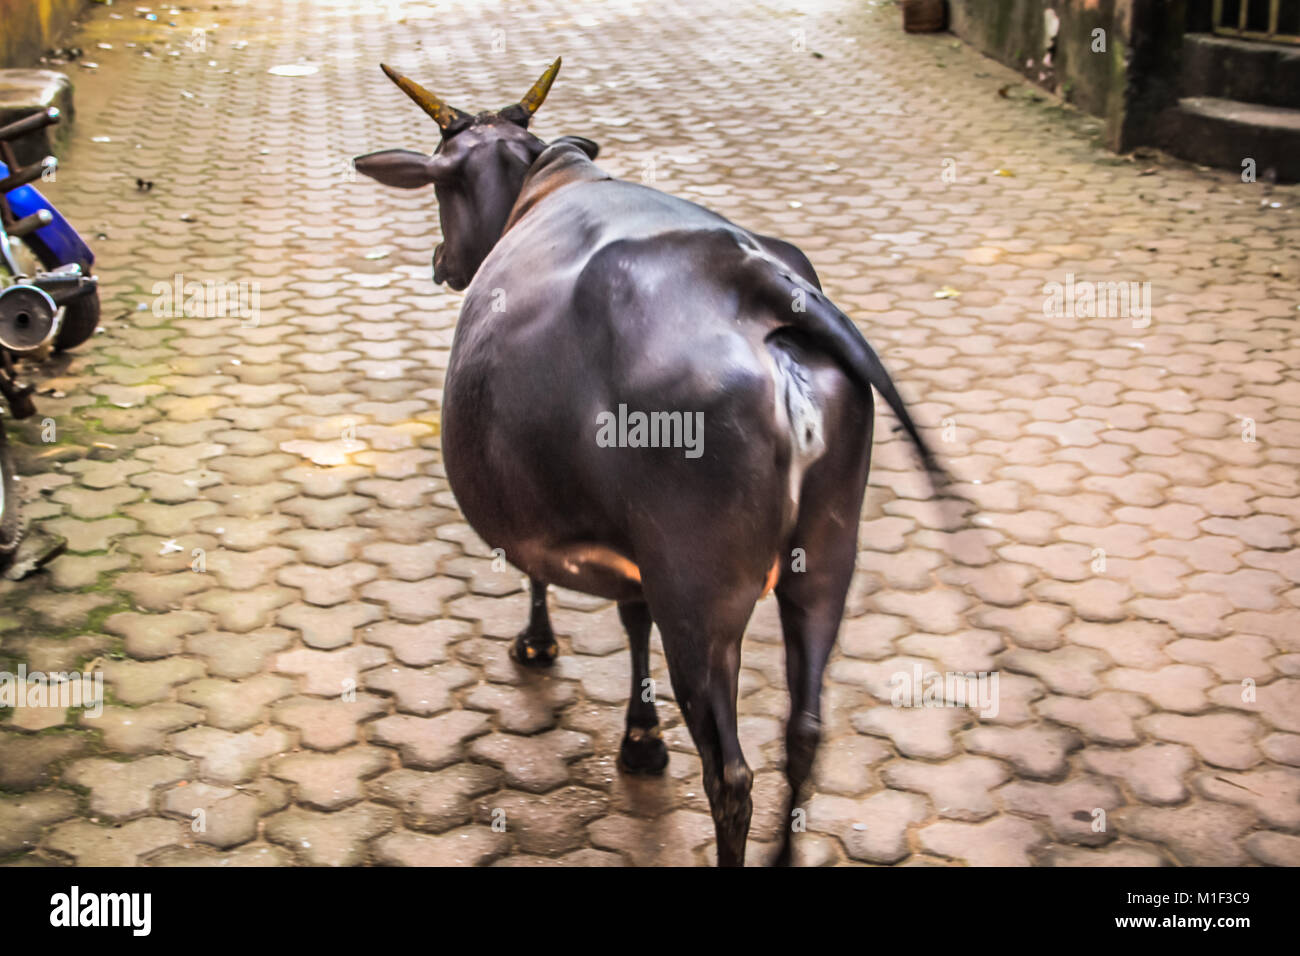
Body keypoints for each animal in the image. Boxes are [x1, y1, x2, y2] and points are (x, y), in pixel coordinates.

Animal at [353, 58, 949, 866]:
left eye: (442, 188)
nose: (443, 263)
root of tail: (755, 282)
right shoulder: (627, 540)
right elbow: (631, 617)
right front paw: (641, 736)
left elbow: (554, 580)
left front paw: (540, 646)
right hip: (824, 560)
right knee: (805, 730)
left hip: (699, 593)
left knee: (731, 773)